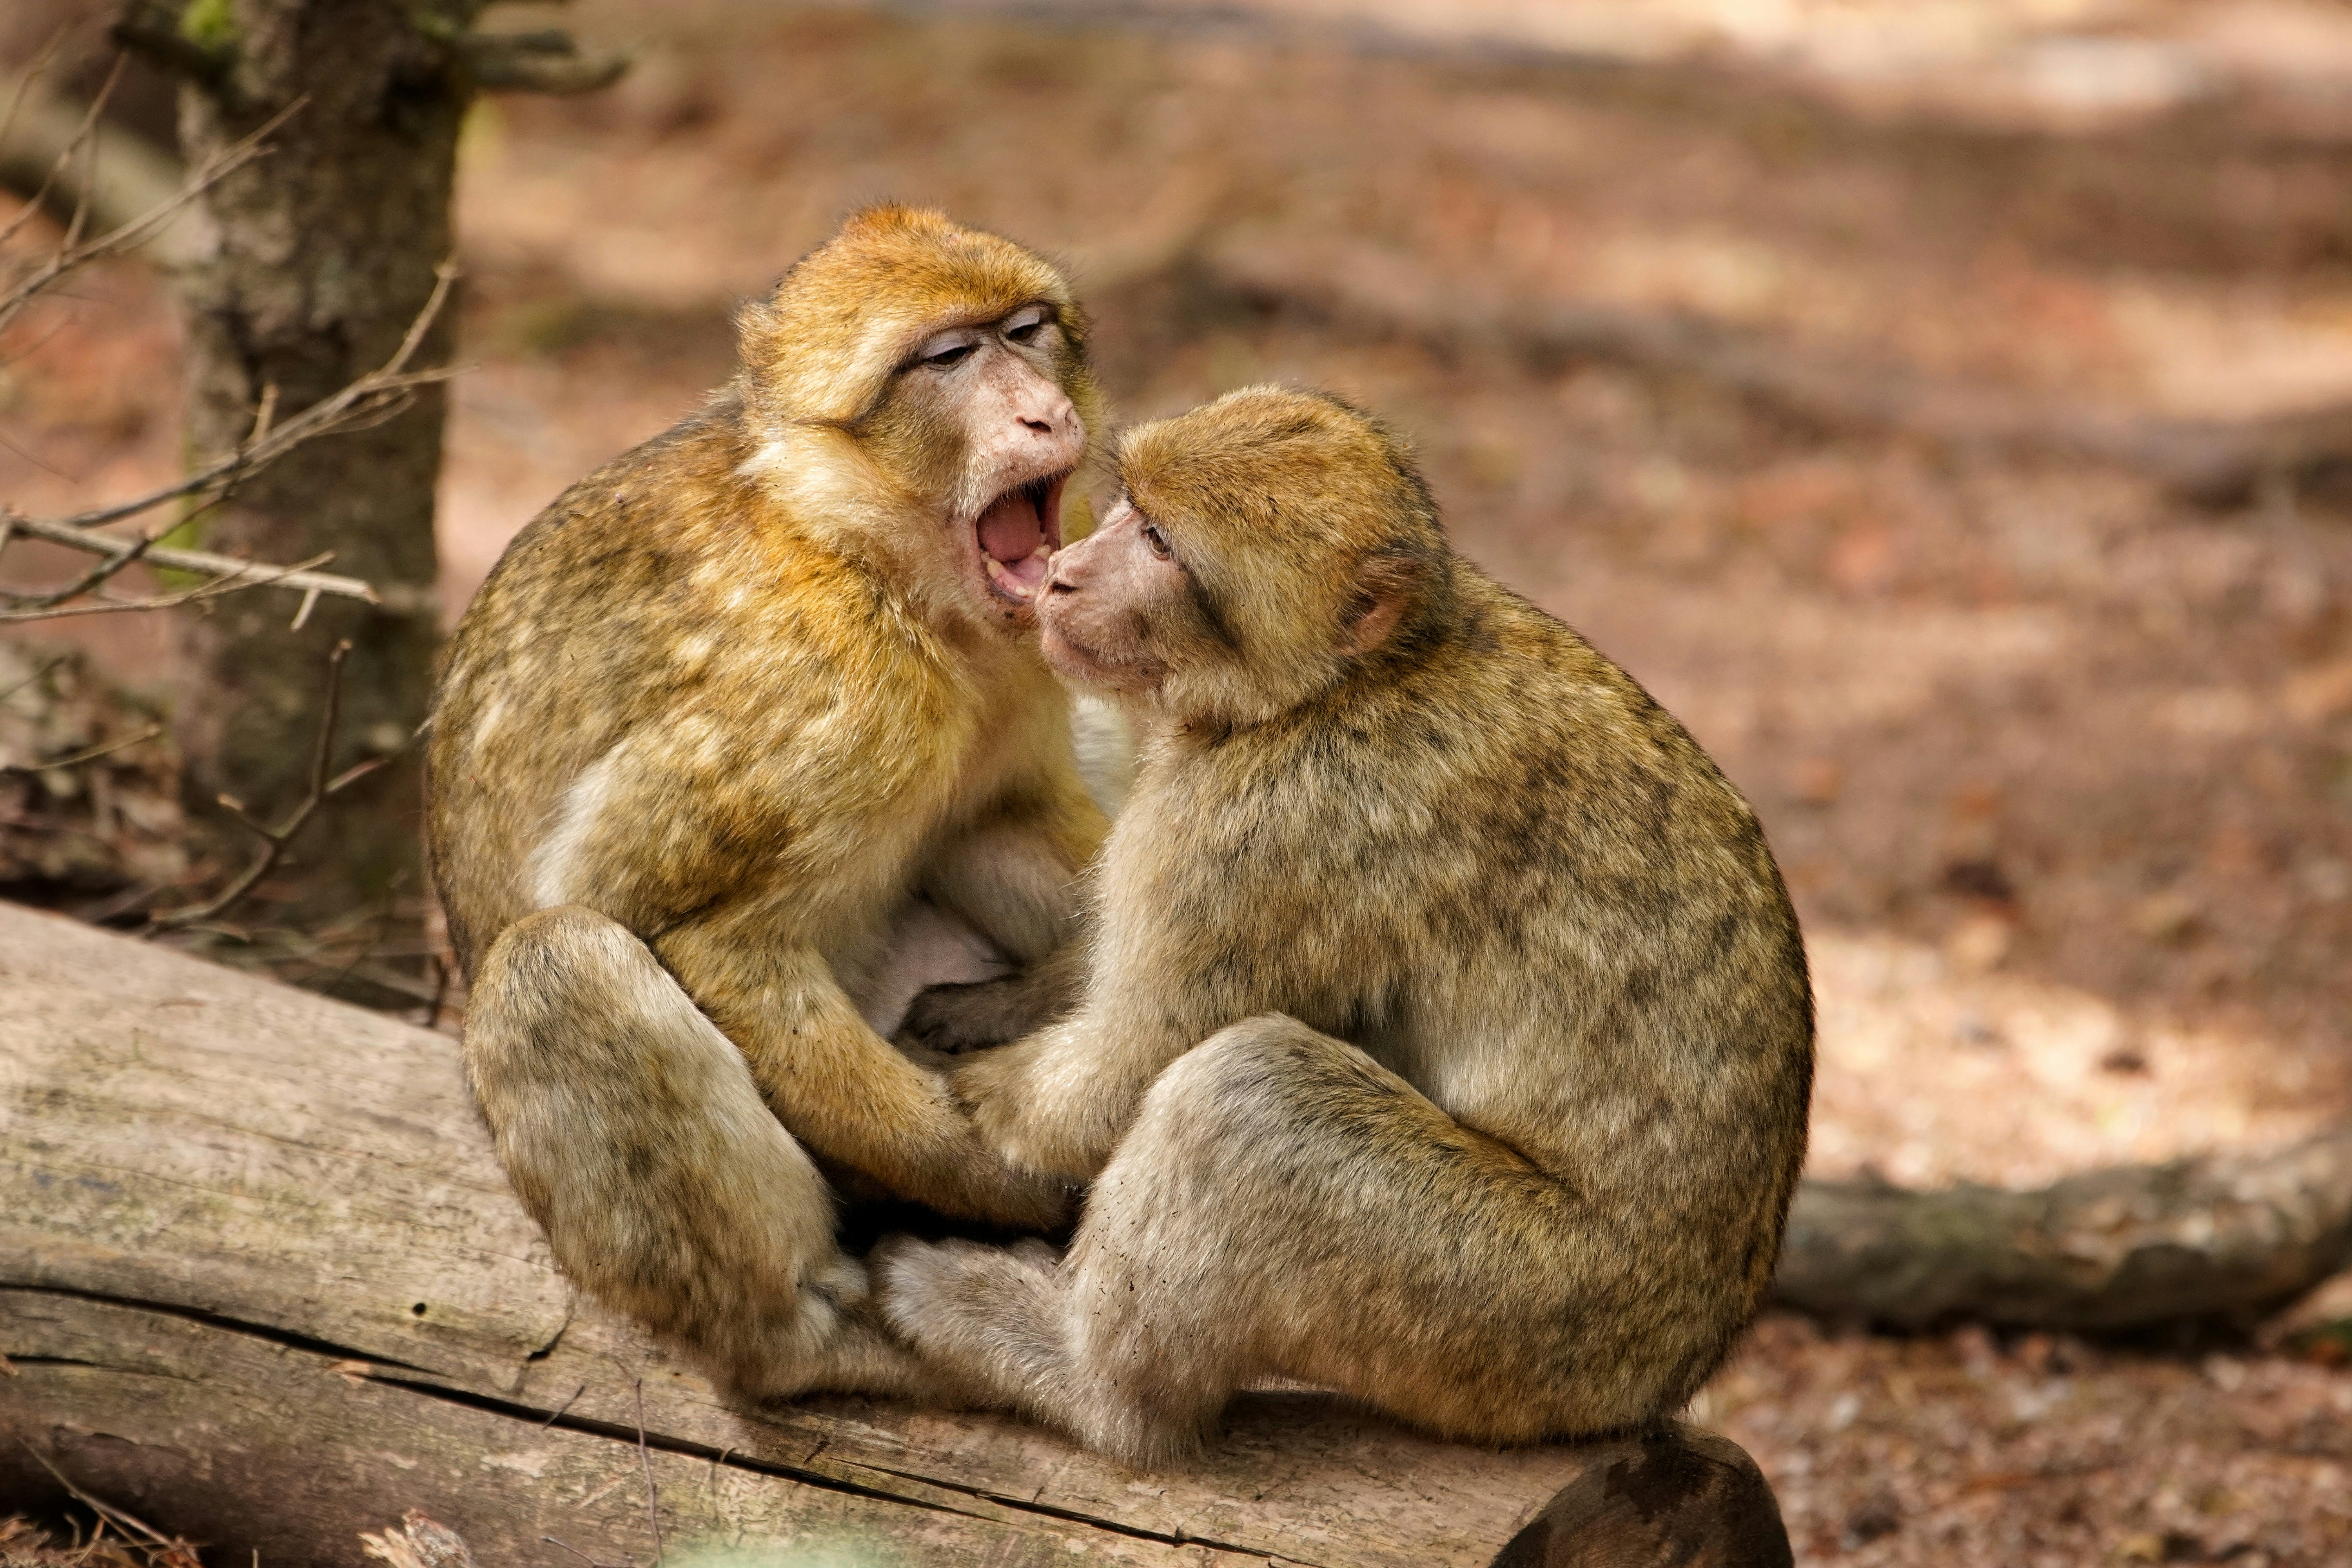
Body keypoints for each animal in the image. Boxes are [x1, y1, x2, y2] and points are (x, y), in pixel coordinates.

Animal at [424, 206, 1116, 1402]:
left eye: (1027, 331)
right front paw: (1000, 1178)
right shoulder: (828, 693)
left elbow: (996, 826)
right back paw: (802, 1340)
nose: (1045, 412)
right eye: (950, 357)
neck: (874, 564)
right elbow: (676, 923)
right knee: (554, 960)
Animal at [879, 386, 1815, 1466]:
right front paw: (1000, 1006)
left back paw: (1087, 1383)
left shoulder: (1263, 827)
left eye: (1159, 543)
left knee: (1250, 1095)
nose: (1065, 575)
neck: (1336, 687)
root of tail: (1668, 1376)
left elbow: (1129, 1065)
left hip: (1513, 1314)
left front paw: (972, 1094)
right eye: (1131, 509)